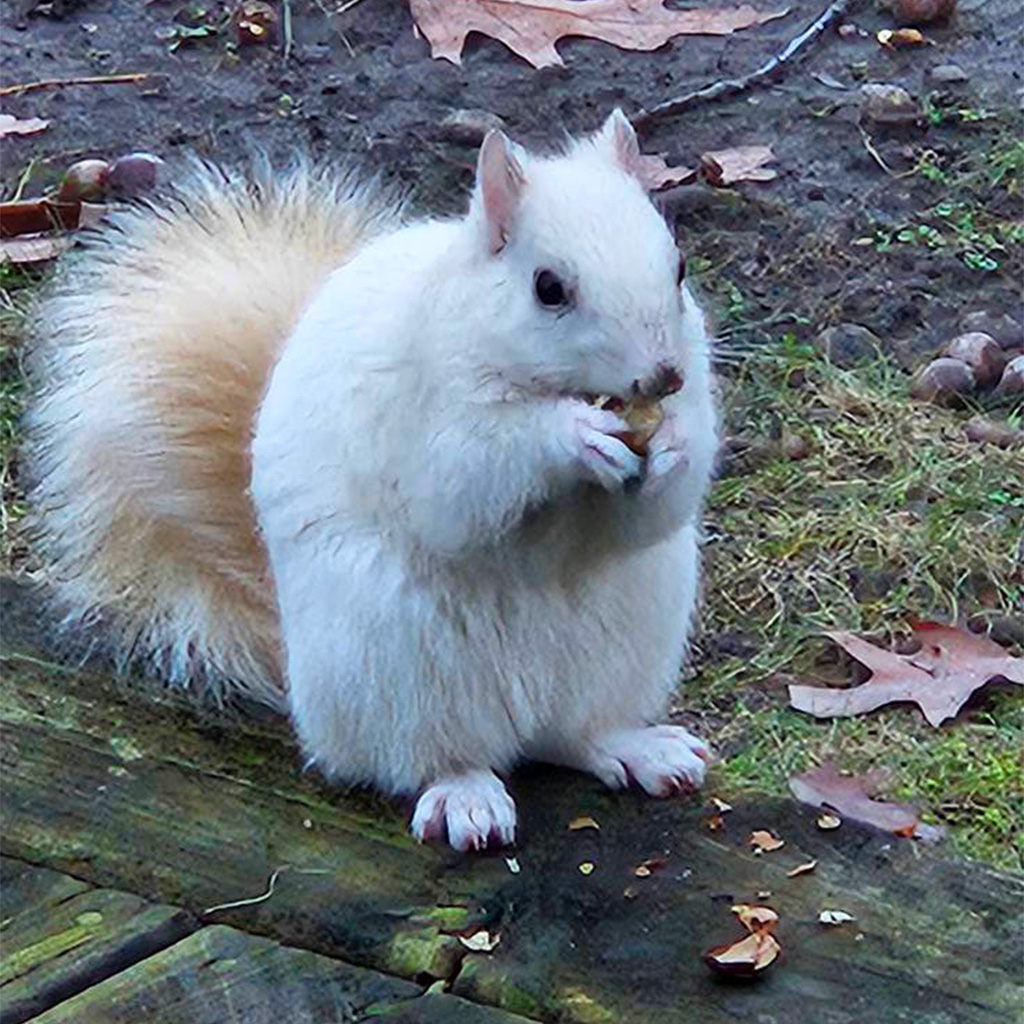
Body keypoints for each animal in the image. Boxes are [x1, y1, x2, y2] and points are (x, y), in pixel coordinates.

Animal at [24, 110, 719, 851]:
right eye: (549, 288)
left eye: (678, 268)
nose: (662, 377)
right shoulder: (423, 415)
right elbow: (464, 483)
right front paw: (573, 435)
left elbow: (658, 507)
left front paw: (674, 444)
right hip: (392, 666)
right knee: (427, 757)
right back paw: (466, 797)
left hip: (631, 636)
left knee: (577, 733)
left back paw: (637, 749)